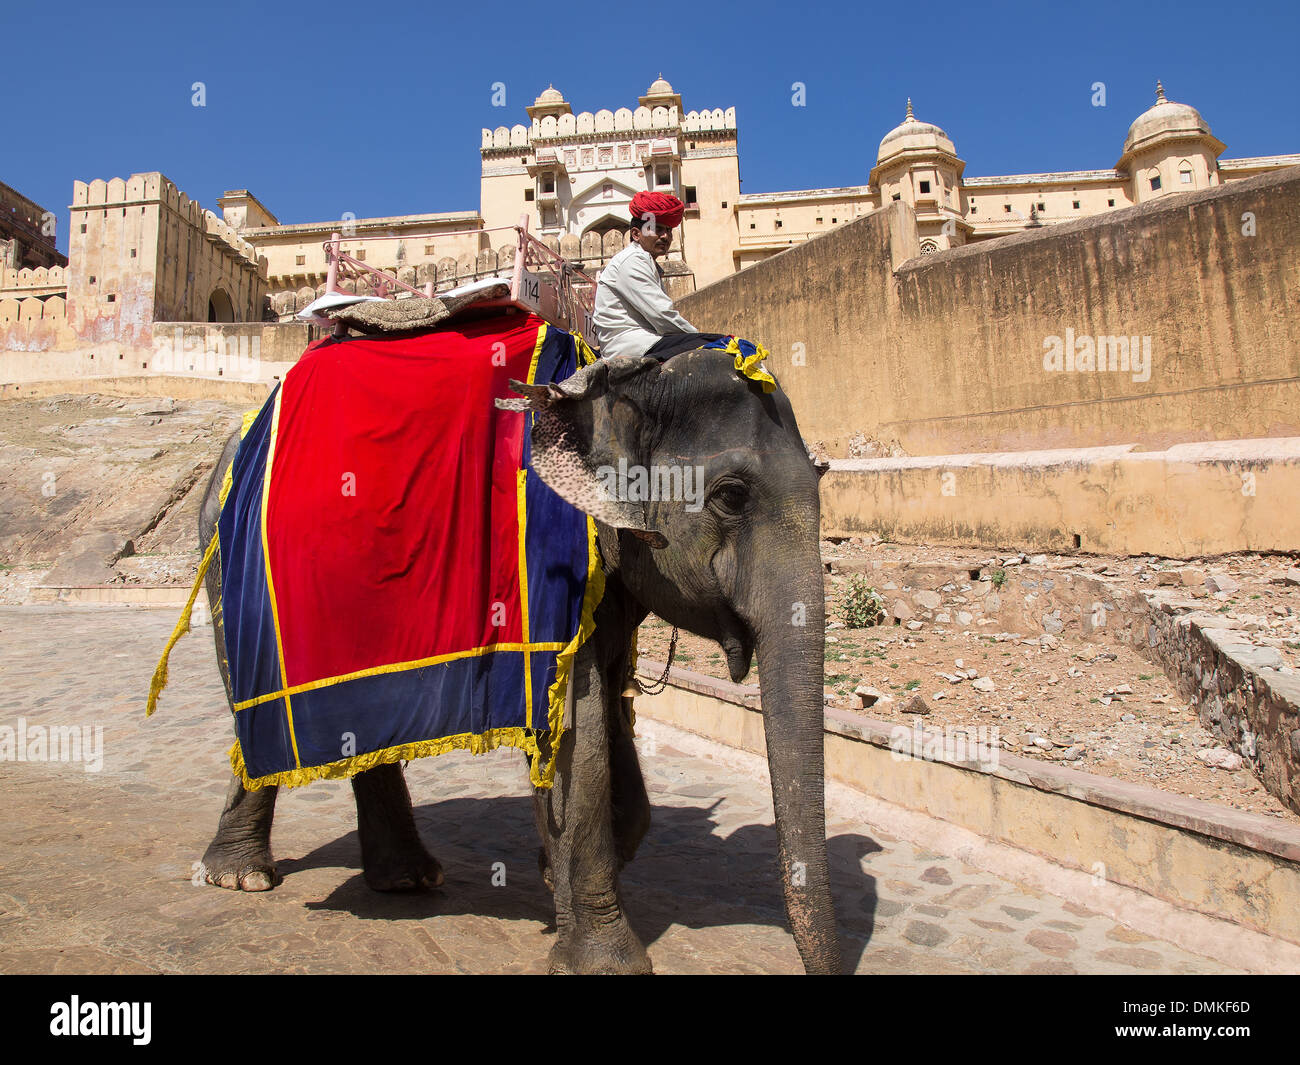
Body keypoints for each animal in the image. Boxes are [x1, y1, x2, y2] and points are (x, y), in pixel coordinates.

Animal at [194, 347, 839, 975]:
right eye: (731, 496)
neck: (619, 382)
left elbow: (604, 718)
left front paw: (554, 873)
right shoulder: (549, 568)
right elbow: (579, 730)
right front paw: (602, 962)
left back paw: (406, 879)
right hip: (232, 575)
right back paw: (242, 877)